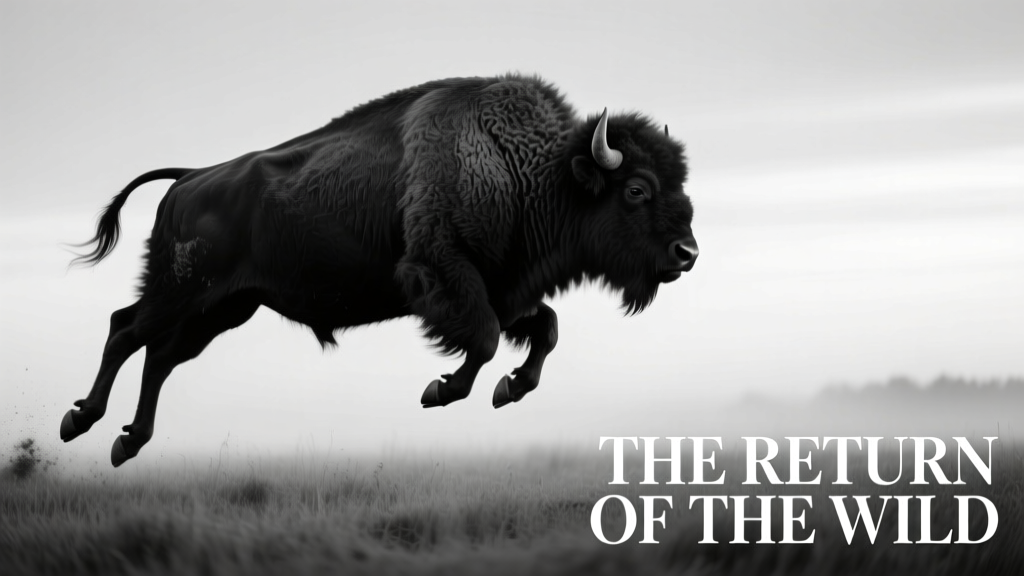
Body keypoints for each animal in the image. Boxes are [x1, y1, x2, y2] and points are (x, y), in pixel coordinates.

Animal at [62, 74, 698, 466]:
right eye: (637, 189)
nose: (687, 254)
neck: (529, 172)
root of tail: (190, 178)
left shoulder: (508, 291)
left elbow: (543, 331)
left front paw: (508, 389)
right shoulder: (444, 275)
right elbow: (485, 339)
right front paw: (440, 391)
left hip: (223, 309)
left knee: (160, 355)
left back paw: (127, 442)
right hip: (182, 293)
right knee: (126, 331)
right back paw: (80, 421)